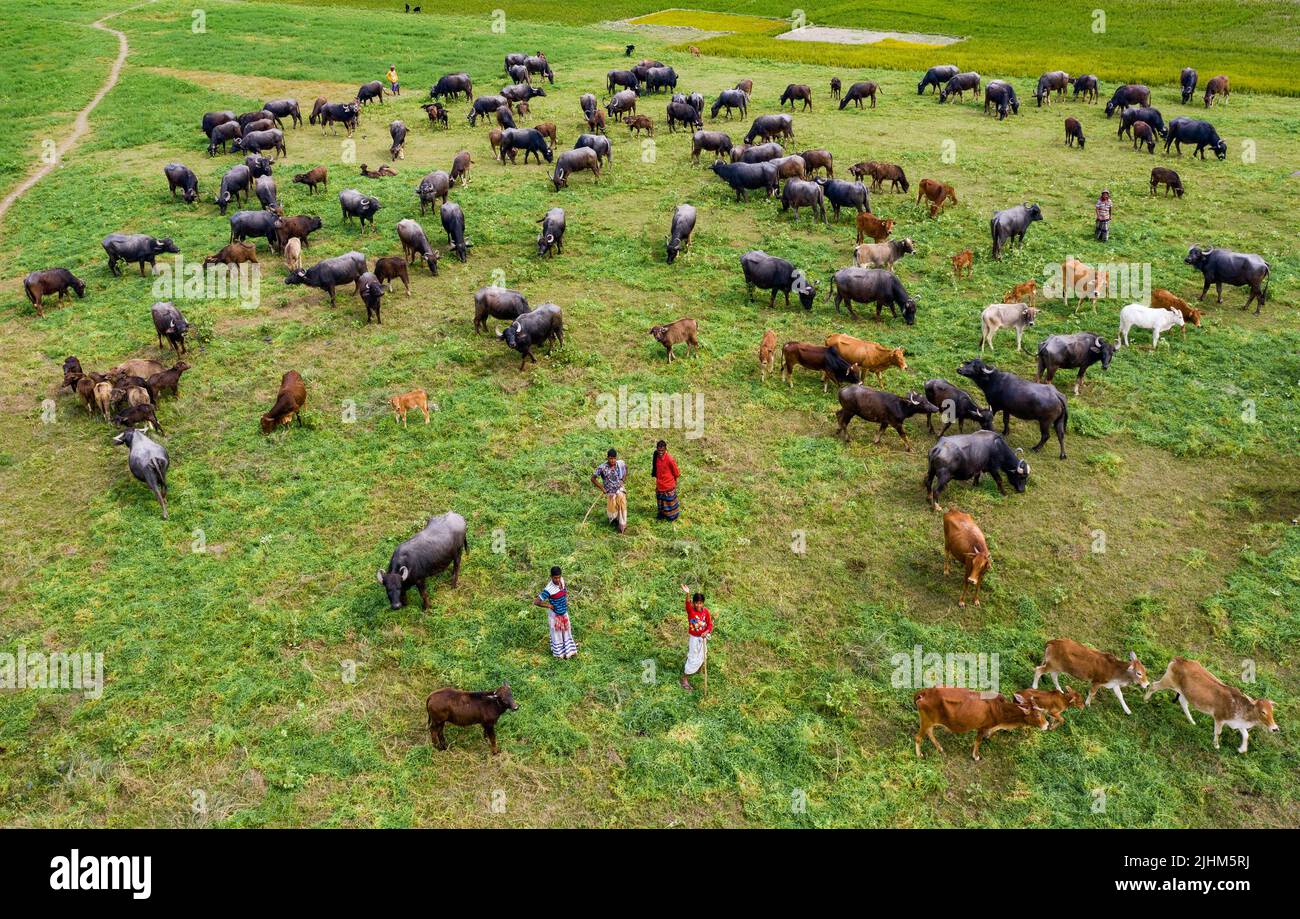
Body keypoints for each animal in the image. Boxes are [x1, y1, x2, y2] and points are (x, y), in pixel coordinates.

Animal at [914, 687, 1048, 760]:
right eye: (1037, 714)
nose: (1046, 725)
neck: (1001, 709)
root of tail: (923, 693)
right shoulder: (983, 727)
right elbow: (978, 741)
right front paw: (976, 756)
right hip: (926, 719)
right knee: (918, 737)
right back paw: (919, 754)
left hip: (929, 720)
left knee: (930, 732)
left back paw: (940, 748)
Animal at [1144, 658, 1278, 753]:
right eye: (1263, 712)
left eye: (1272, 711)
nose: (1275, 728)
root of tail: (1178, 659)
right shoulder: (1219, 717)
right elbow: (1218, 733)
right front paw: (1216, 745)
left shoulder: (1235, 722)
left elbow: (1246, 734)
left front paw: (1241, 749)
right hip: (1168, 681)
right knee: (1153, 685)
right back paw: (1145, 700)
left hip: (1185, 693)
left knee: (1183, 702)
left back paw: (1192, 721)